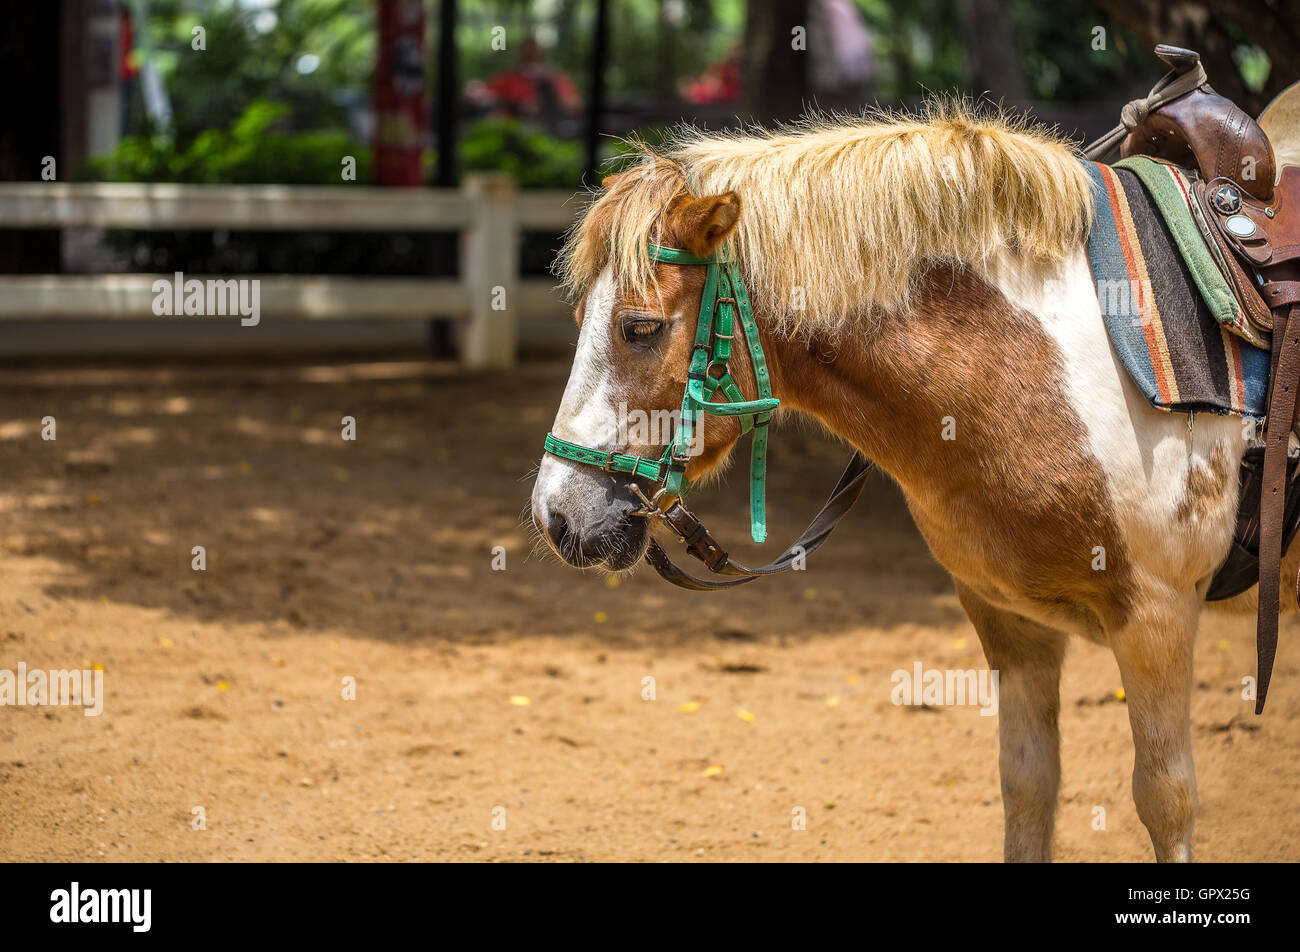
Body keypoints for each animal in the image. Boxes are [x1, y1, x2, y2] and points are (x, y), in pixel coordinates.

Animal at [528, 104, 1292, 862]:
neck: (1049, 362)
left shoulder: (1157, 615)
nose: (557, 514)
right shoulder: (1009, 619)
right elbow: (1029, 787)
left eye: (640, 328)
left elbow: (1166, 802)